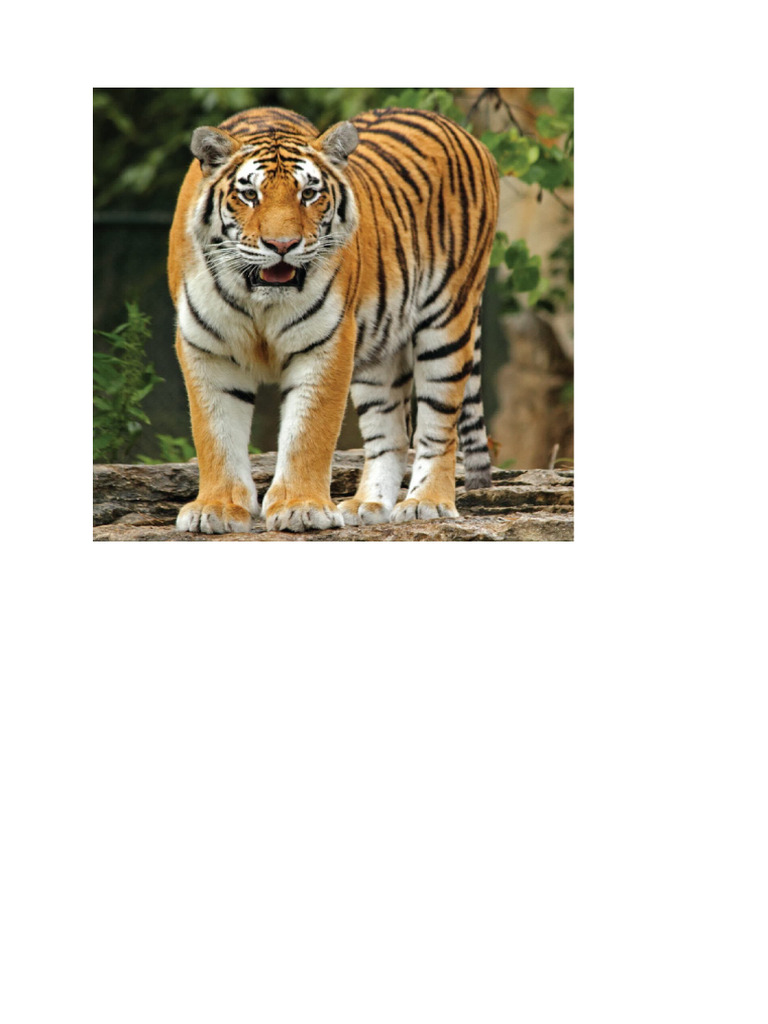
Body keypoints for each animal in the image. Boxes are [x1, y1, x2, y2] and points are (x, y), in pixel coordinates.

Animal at [167, 105, 499, 533]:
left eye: (308, 194)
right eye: (250, 194)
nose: (282, 245)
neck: (260, 300)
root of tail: (464, 132)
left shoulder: (326, 342)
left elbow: (309, 431)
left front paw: (300, 507)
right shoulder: (206, 347)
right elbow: (215, 432)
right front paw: (217, 508)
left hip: (448, 321)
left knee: (438, 428)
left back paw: (427, 503)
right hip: (379, 353)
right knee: (390, 434)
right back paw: (367, 505)